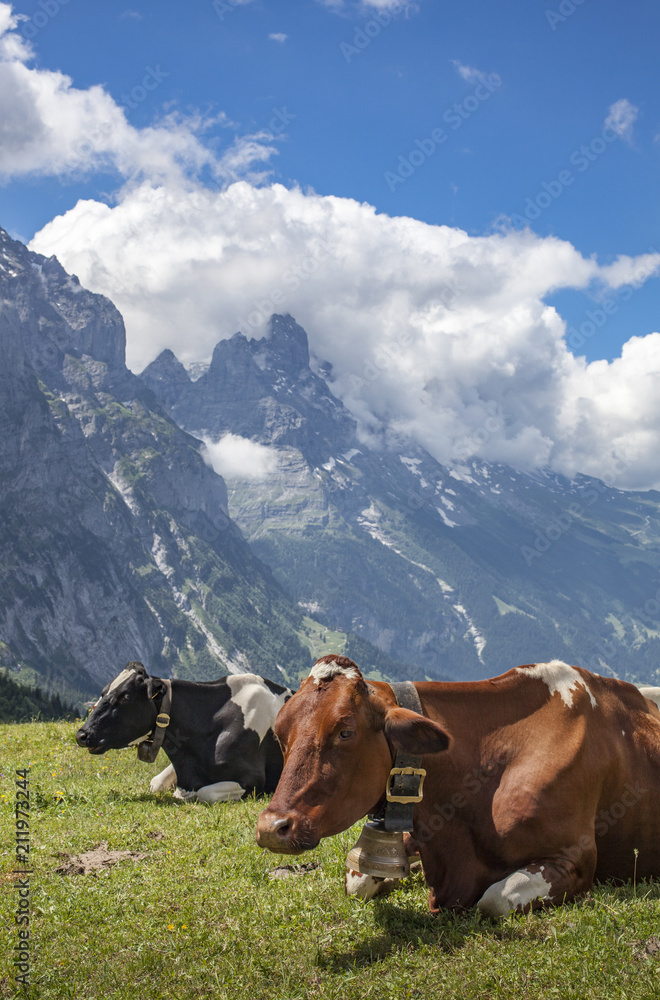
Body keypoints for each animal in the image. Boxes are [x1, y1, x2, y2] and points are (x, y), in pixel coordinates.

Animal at [76, 661, 292, 802]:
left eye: (125, 696)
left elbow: (204, 793)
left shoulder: (253, 779)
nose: (81, 735)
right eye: (103, 692)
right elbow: (156, 782)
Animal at [256, 654, 660, 917]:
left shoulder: (576, 858)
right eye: (279, 733)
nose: (271, 827)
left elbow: (494, 900)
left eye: (345, 731)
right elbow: (357, 882)